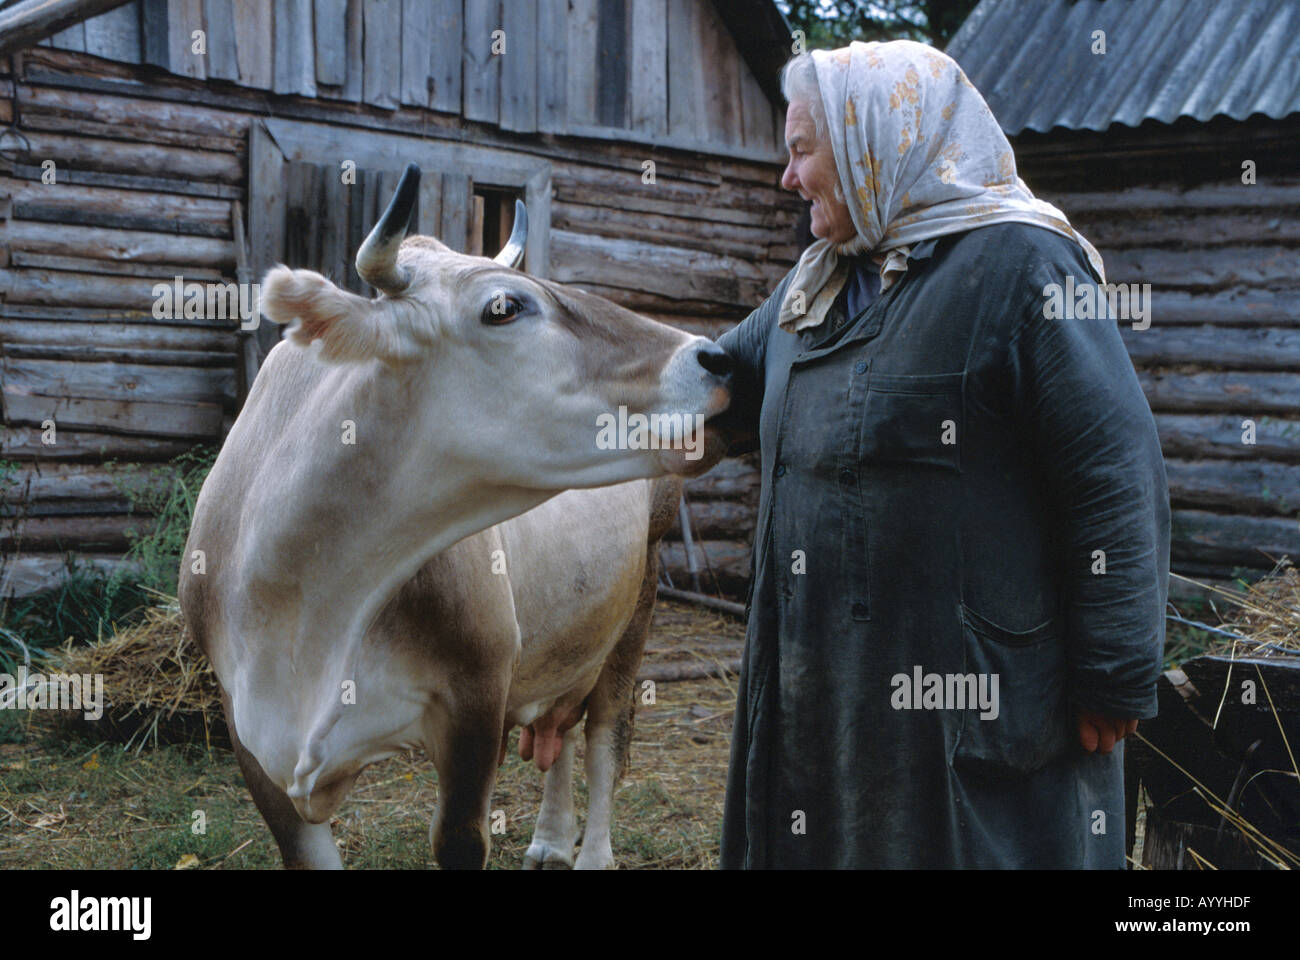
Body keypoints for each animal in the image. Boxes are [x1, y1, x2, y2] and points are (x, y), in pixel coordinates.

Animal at [179, 164, 733, 869]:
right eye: (504, 306)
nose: (718, 356)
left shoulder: (478, 692)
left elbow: (462, 839)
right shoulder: (249, 735)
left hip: (639, 601)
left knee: (606, 736)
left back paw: (592, 852)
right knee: (561, 724)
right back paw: (551, 839)